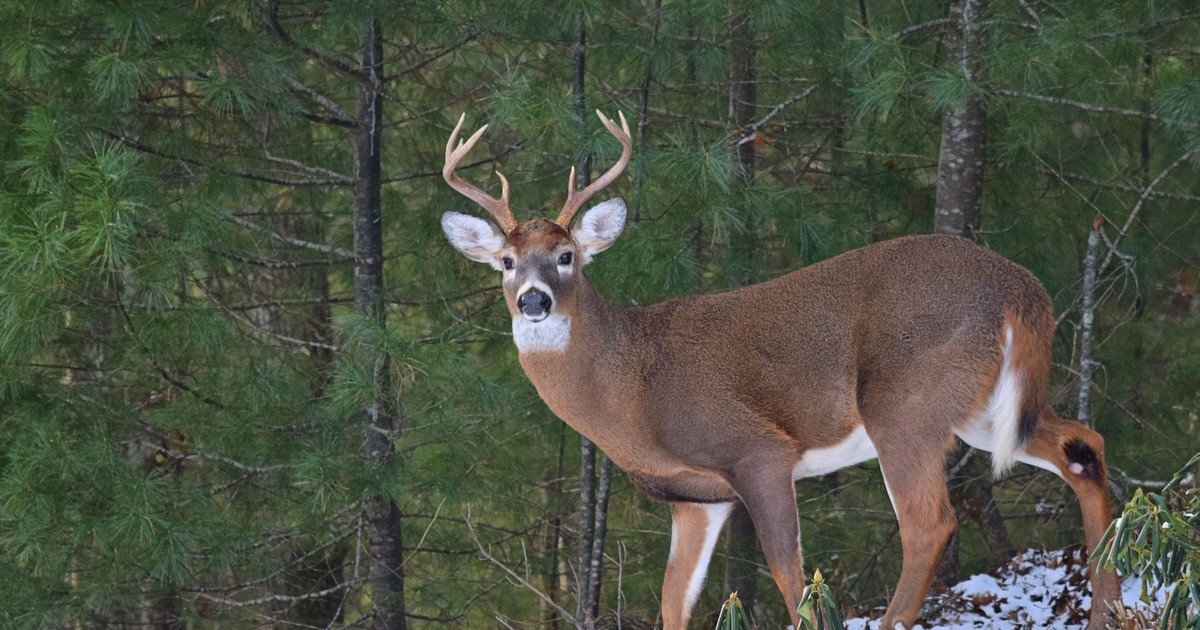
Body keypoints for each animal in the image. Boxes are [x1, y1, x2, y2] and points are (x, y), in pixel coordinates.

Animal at [439, 110, 1120, 630]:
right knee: (1083, 445)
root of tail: (1023, 288)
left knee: (930, 524)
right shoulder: (697, 499)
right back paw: (1107, 610)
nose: (534, 301)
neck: (632, 388)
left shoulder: (757, 450)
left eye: (566, 255)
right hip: (979, 405)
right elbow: (673, 605)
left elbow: (793, 581)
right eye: (506, 262)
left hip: (902, 401)